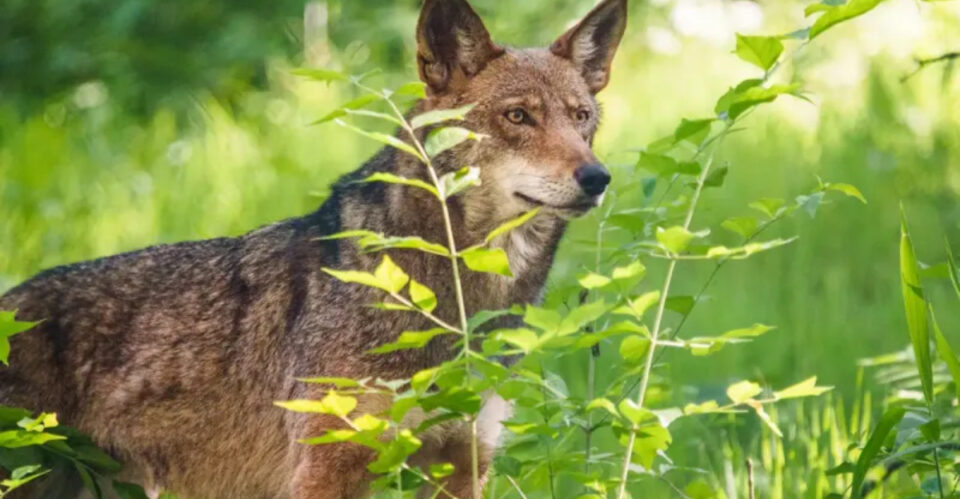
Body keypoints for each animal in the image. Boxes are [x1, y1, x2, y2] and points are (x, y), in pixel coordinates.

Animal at [0, 0, 627, 497]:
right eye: (518, 116)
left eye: (581, 118)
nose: (598, 177)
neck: (446, 299)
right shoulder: (328, 469)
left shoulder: (462, 465)